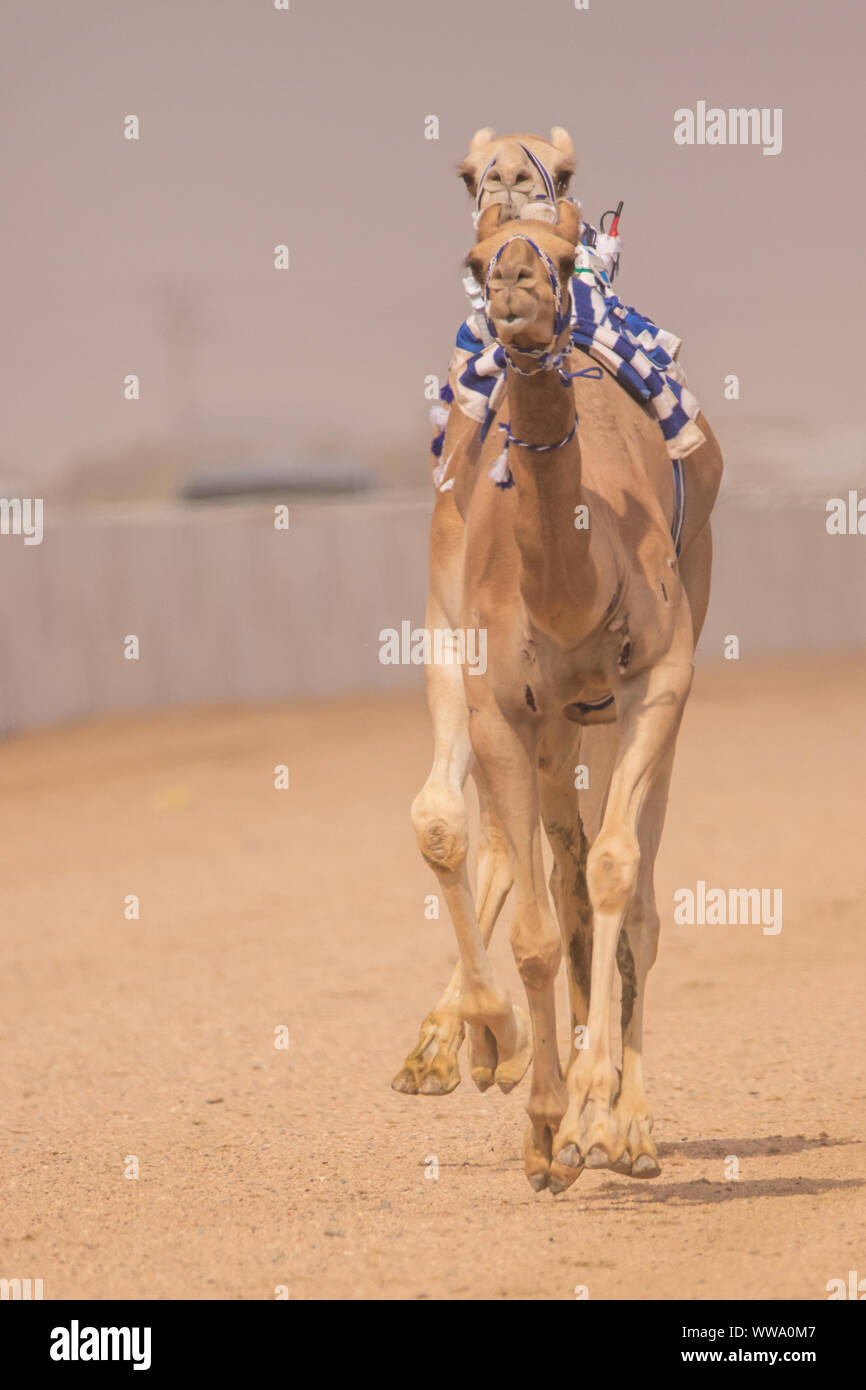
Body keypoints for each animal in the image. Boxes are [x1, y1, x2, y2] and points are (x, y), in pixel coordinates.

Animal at [392, 135, 722, 1182]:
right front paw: (528, 1103)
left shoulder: (656, 679)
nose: (517, 277)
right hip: (544, 718)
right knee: (531, 859)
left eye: (573, 247)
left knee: (630, 896)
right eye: (474, 255)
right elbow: (495, 877)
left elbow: (618, 878)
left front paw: (590, 1113)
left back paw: (628, 1123)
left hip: (628, 697)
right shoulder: (491, 685)